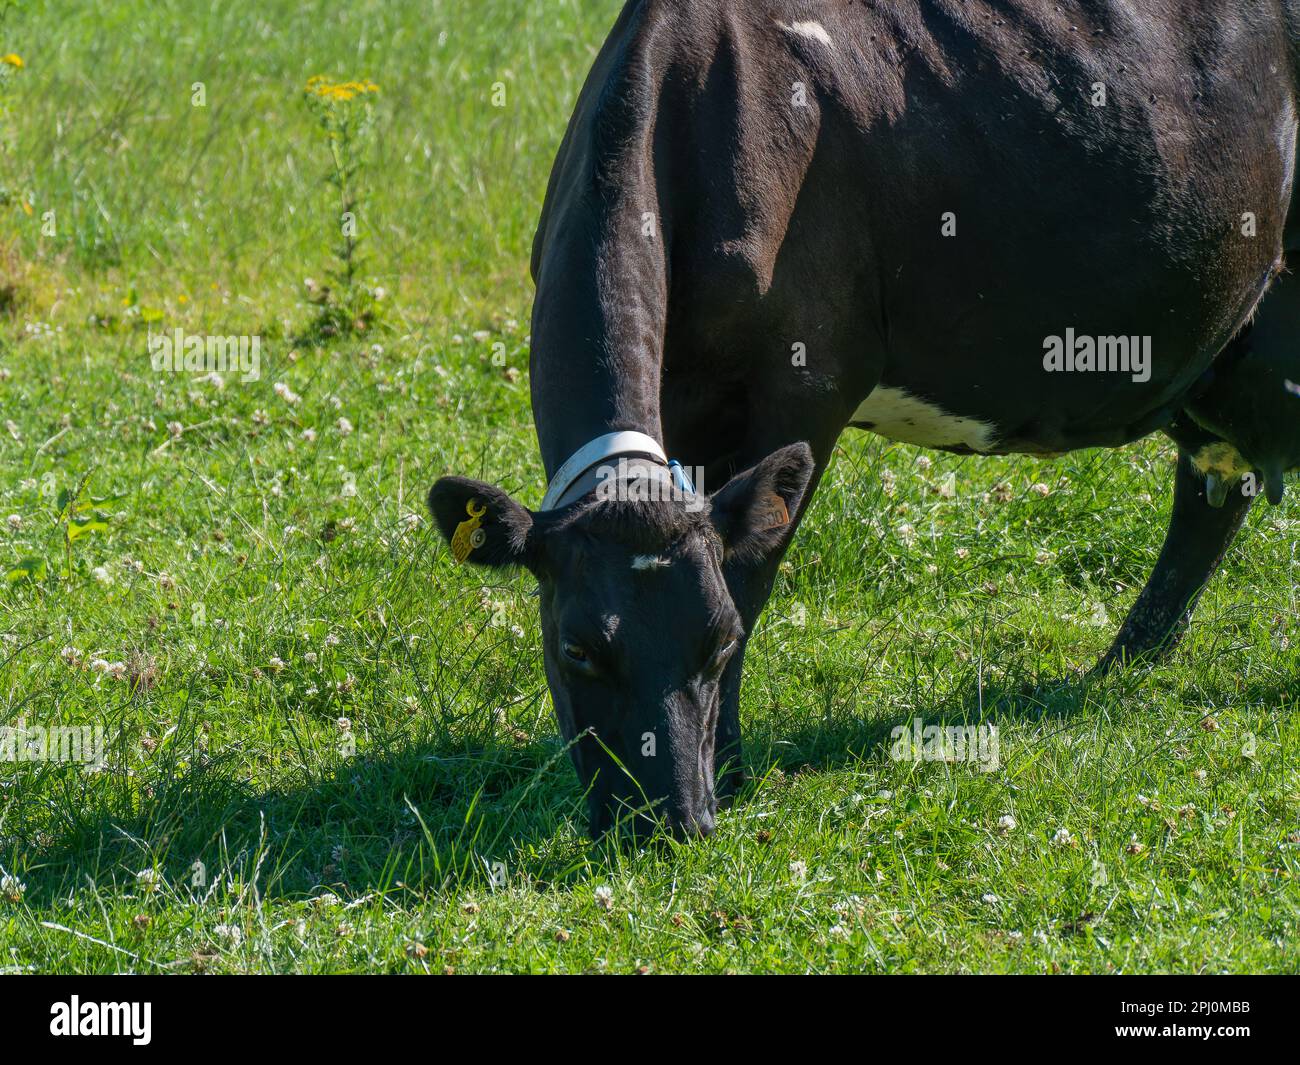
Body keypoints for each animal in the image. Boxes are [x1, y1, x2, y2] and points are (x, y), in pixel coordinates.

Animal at [430, 0, 1300, 841]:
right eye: (576, 648)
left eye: (719, 641)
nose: (670, 821)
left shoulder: (805, 383)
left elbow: (751, 572)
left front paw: (731, 770)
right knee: (1214, 485)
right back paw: (1122, 665)